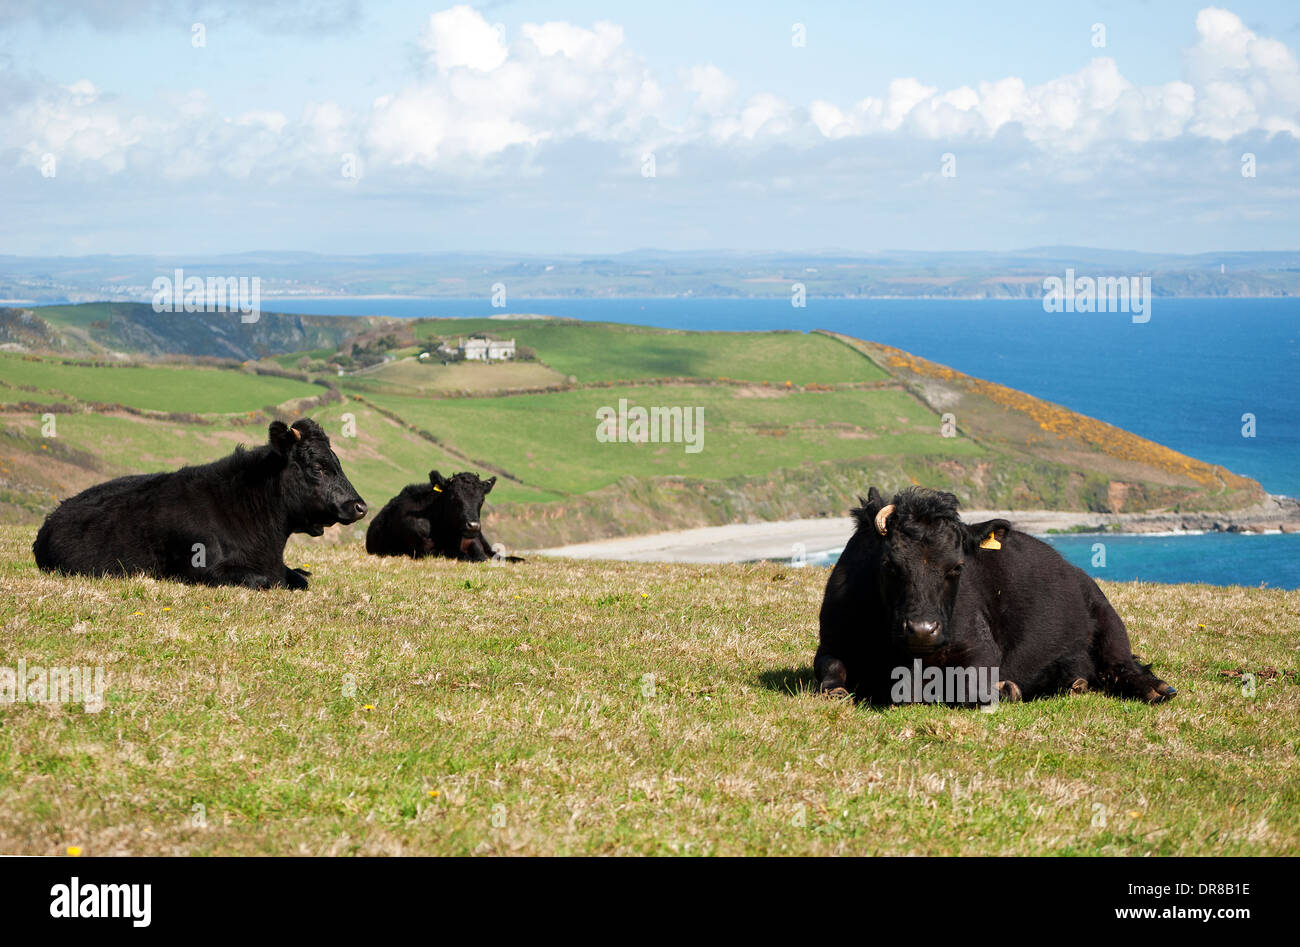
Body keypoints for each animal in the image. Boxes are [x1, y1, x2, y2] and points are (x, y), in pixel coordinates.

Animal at [32, 418, 366, 590]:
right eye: (319, 466)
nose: (359, 506)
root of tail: (52, 518)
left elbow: (297, 579)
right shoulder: (201, 569)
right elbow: (263, 581)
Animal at [365, 470, 523, 562]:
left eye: (482, 499)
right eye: (454, 498)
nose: (473, 526)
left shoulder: (474, 542)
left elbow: (481, 554)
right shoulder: (425, 550)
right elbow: (463, 555)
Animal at [814, 486, 1176, 706]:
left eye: (957, 567)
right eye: (889, 564)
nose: (922, 630)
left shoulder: (981, 649)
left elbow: (969, 684)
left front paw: (1005, 689)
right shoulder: (831, 641)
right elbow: (829, 671)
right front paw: (837, 691)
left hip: (1109, 621)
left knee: (1122, 666)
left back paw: (1155, 688)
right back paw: (1071, 680)